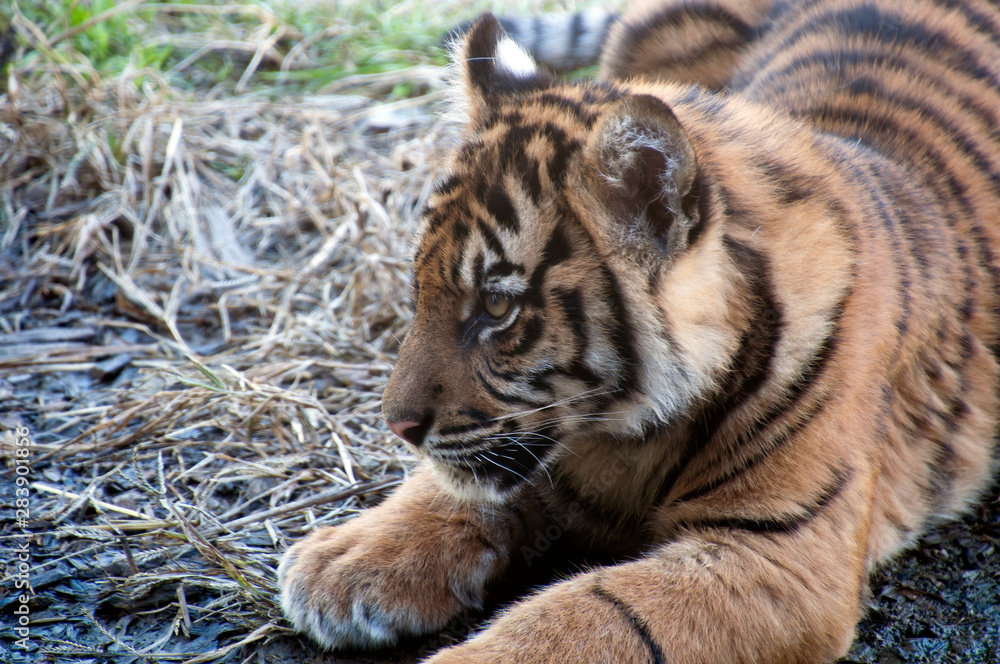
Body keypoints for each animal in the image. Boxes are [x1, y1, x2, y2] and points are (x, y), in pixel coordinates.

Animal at [277, 0, 1000, 661]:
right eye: (421, 291)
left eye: (497, 306)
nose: (397, 426)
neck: (626, 433)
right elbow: (460, 489)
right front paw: (344, 558)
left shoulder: (781, 553)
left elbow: (591, 615)